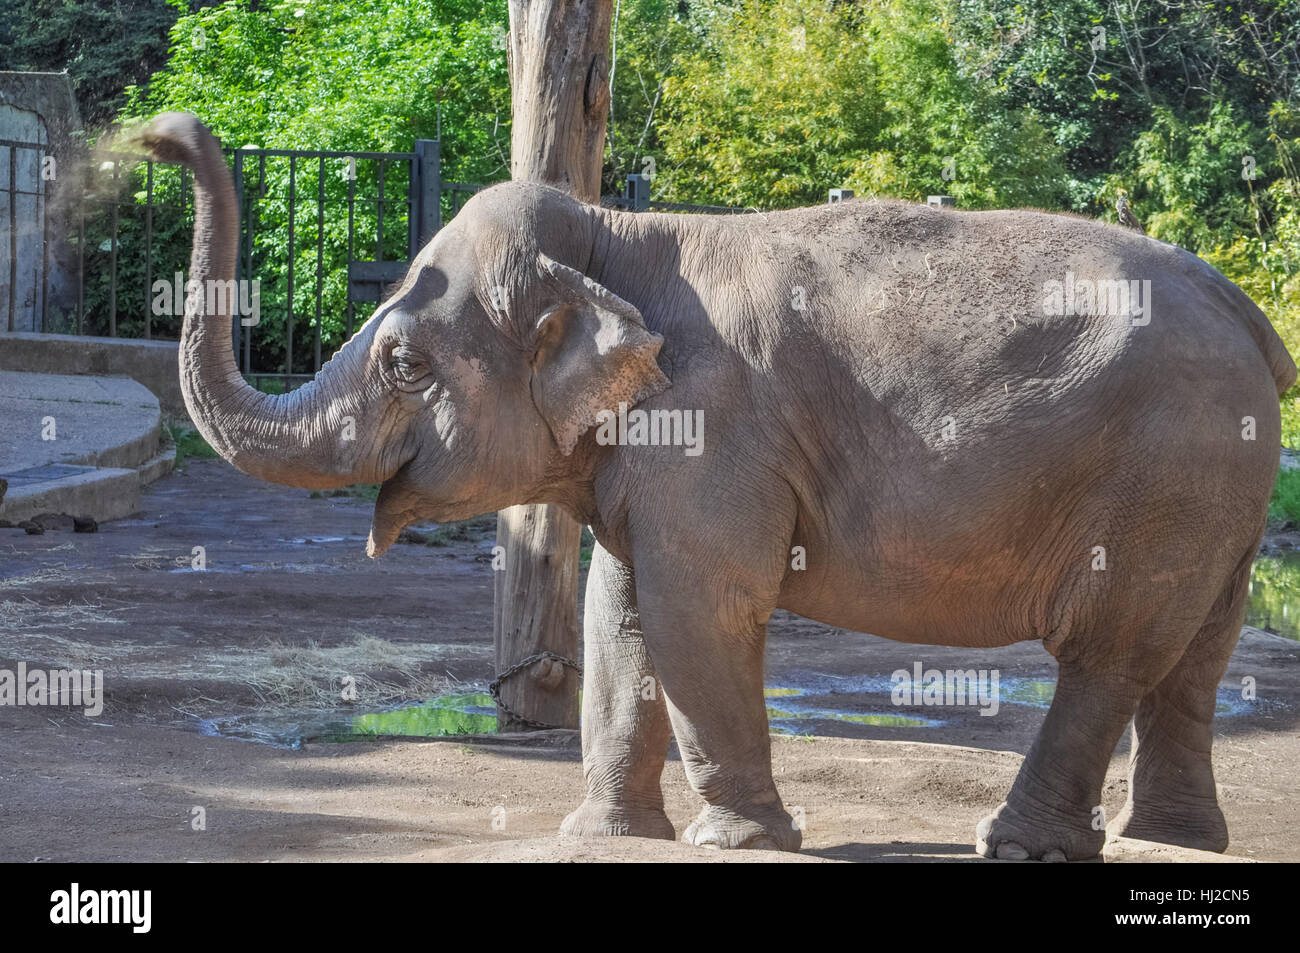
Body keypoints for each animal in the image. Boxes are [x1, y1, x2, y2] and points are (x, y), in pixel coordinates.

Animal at [140, 113, 1295, 860]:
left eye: (404, 364)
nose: (161, 132)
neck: (616, 240)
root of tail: (1250, 317)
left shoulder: (712, 430)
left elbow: (701, 607)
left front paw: (735, 840)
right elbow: (622, 612)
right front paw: (603, 834)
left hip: (1166, 472)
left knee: (1109, 649)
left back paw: (1016, 846)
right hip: (1220, 488)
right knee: (1195, 654)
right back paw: (1173, 842)